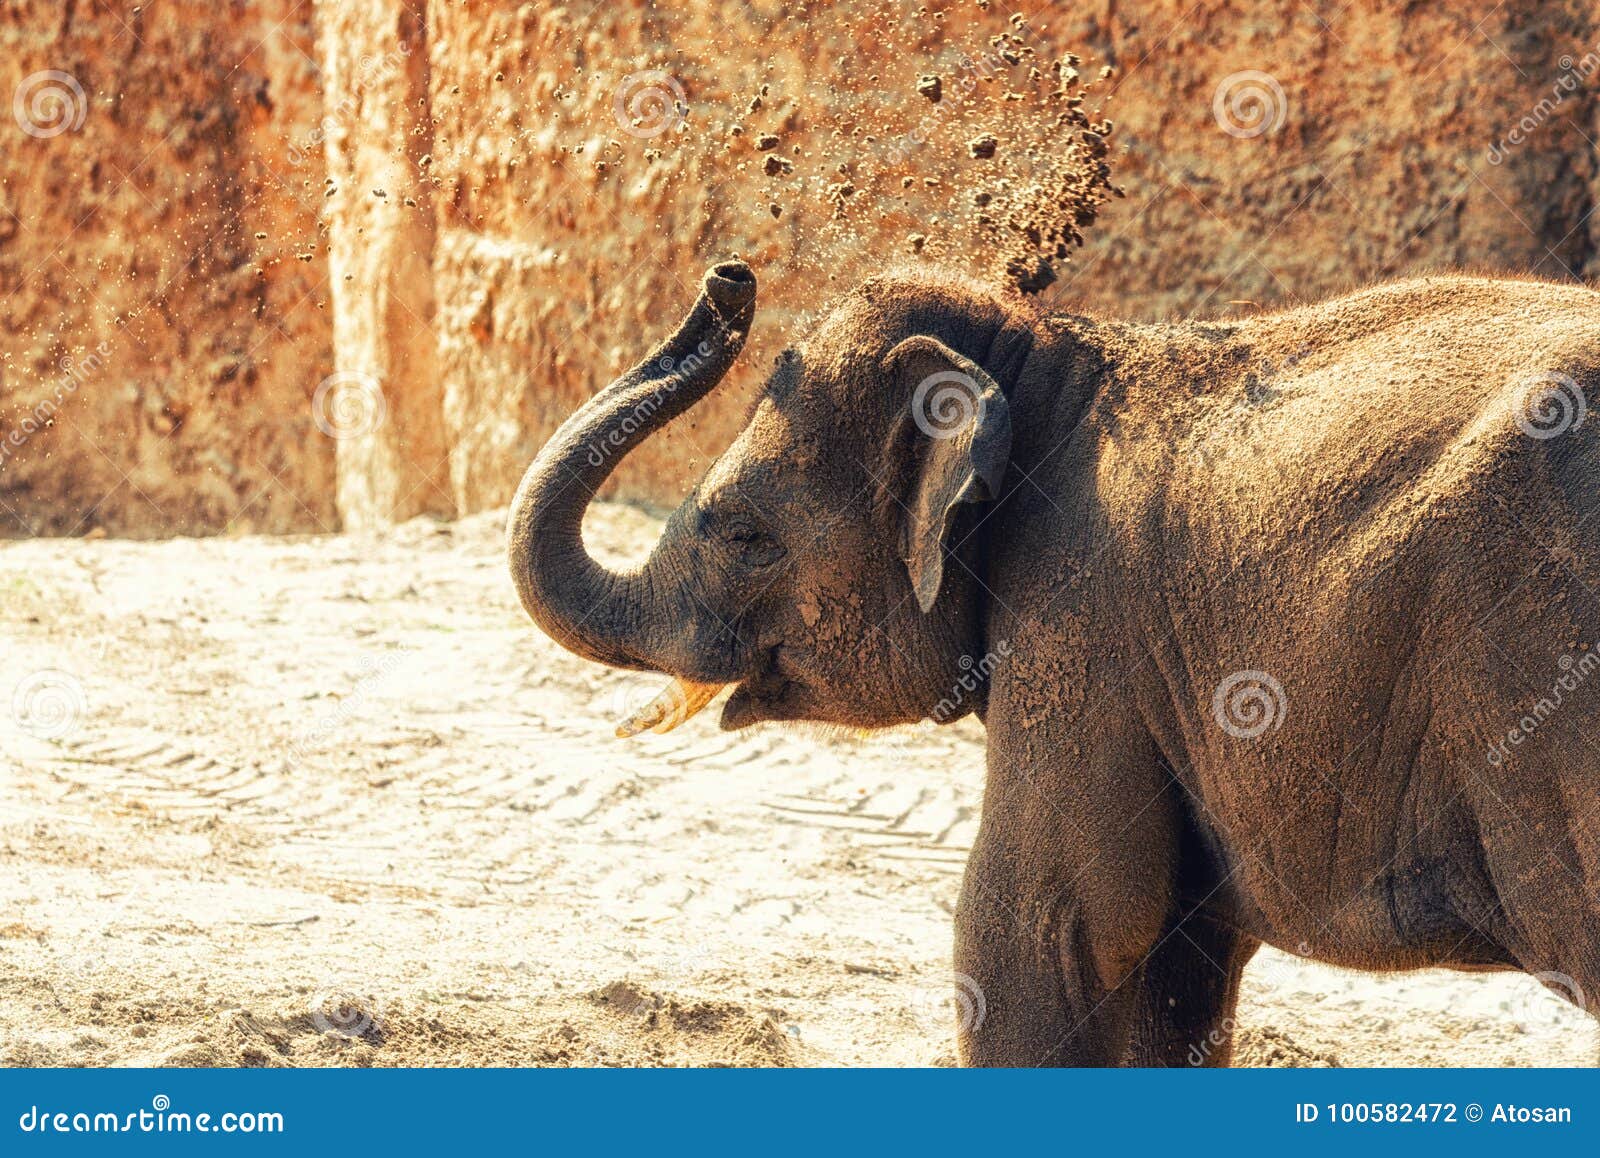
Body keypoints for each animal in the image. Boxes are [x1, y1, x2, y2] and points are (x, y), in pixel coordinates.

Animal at [508, 258, 1600, 1065]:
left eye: (744, 535)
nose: (730, 277)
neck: (1044, 354)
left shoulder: (1082, 624)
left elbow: (1039, 934)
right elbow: (1175, 971)